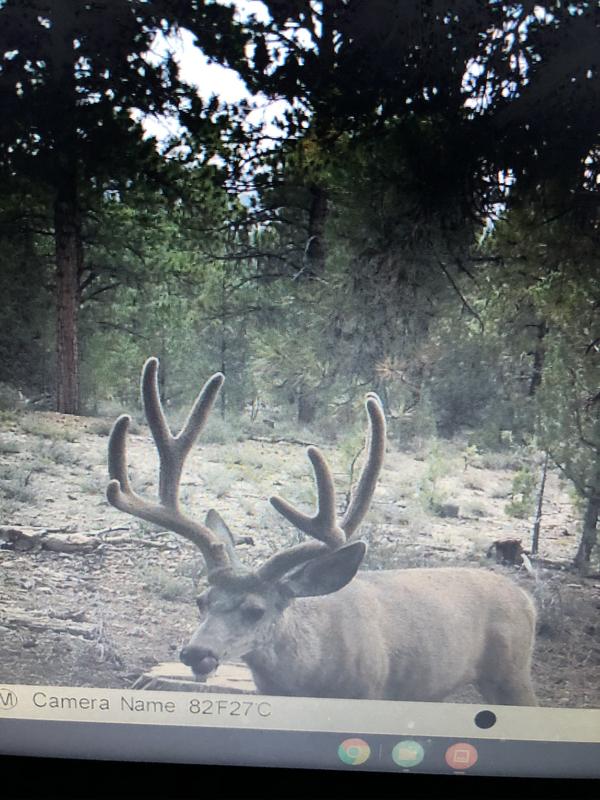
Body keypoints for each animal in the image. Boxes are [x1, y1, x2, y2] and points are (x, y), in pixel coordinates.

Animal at [106, 358, 538, 705]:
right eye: (201, 600)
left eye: (255, 609)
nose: (197, 654)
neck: (309, 671)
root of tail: (526, 599)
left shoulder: (370, 693)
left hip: (512, 674)